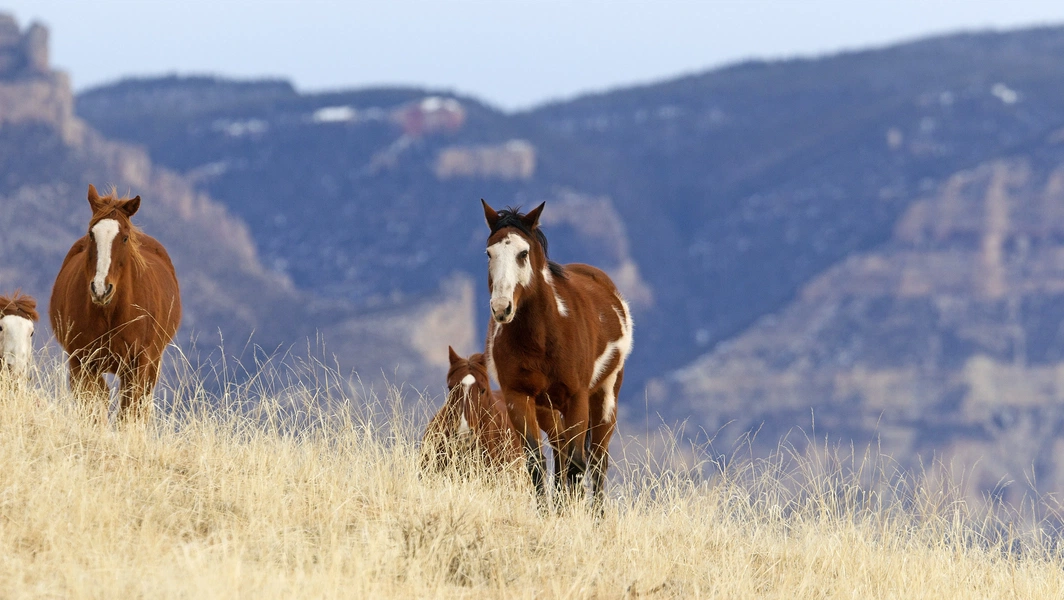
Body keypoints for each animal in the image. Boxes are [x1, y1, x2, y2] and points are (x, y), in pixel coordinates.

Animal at [49, 185, 182, 421]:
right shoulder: (82, 362)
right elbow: (91, 406)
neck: (110, 314)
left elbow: (128, 412)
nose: (101, 288)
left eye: (125, 238)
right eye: (91, 234)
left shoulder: (139, 364)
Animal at [481, 200, 633, 505]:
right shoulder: (519, 398)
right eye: (489, 253)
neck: (541, 340)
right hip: (548, 409)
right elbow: (536, 463)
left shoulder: (577, 399)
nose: (501, 308)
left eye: (523, 253)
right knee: (561, 453)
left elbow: (577, 465)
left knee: (596, 461)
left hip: (605, 397)